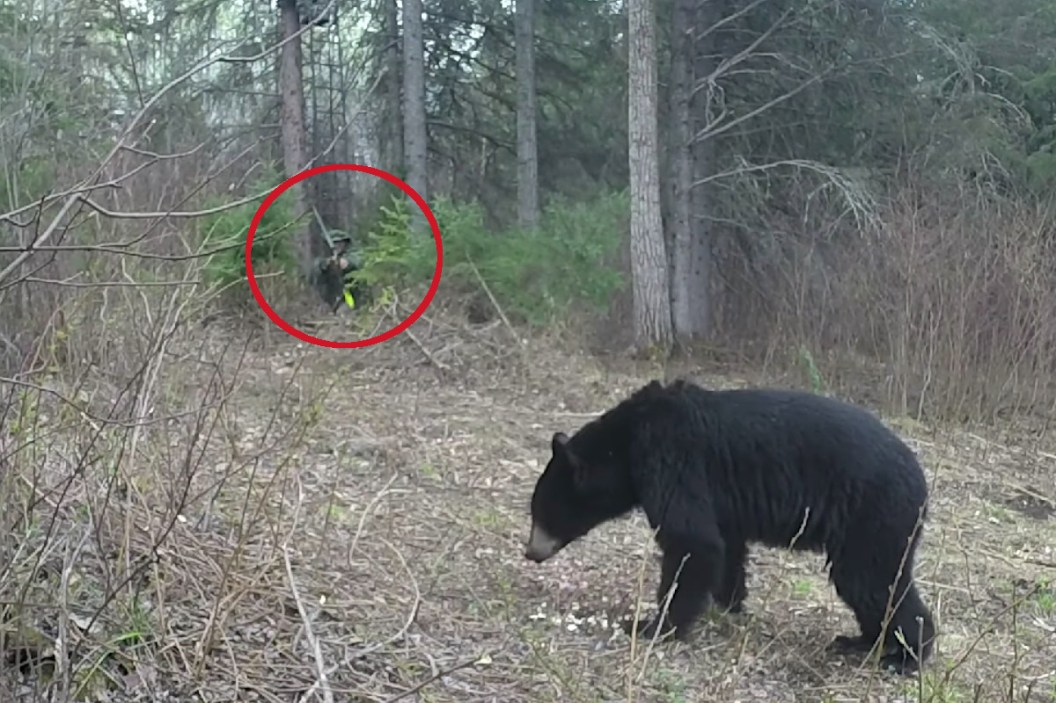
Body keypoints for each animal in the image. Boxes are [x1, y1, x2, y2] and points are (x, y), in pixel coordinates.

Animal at [524, 379, 936, 675]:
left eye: (539, 512)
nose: (530, 552)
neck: (626, 443)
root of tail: (922, 481)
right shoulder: (723, 499)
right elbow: (726, 544)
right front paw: (730, 604)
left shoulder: (671, 458)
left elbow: (692, 540)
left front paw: (652, 626)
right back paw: (861, 642)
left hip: (872, 515)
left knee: (872, 581)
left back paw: (905, 656)